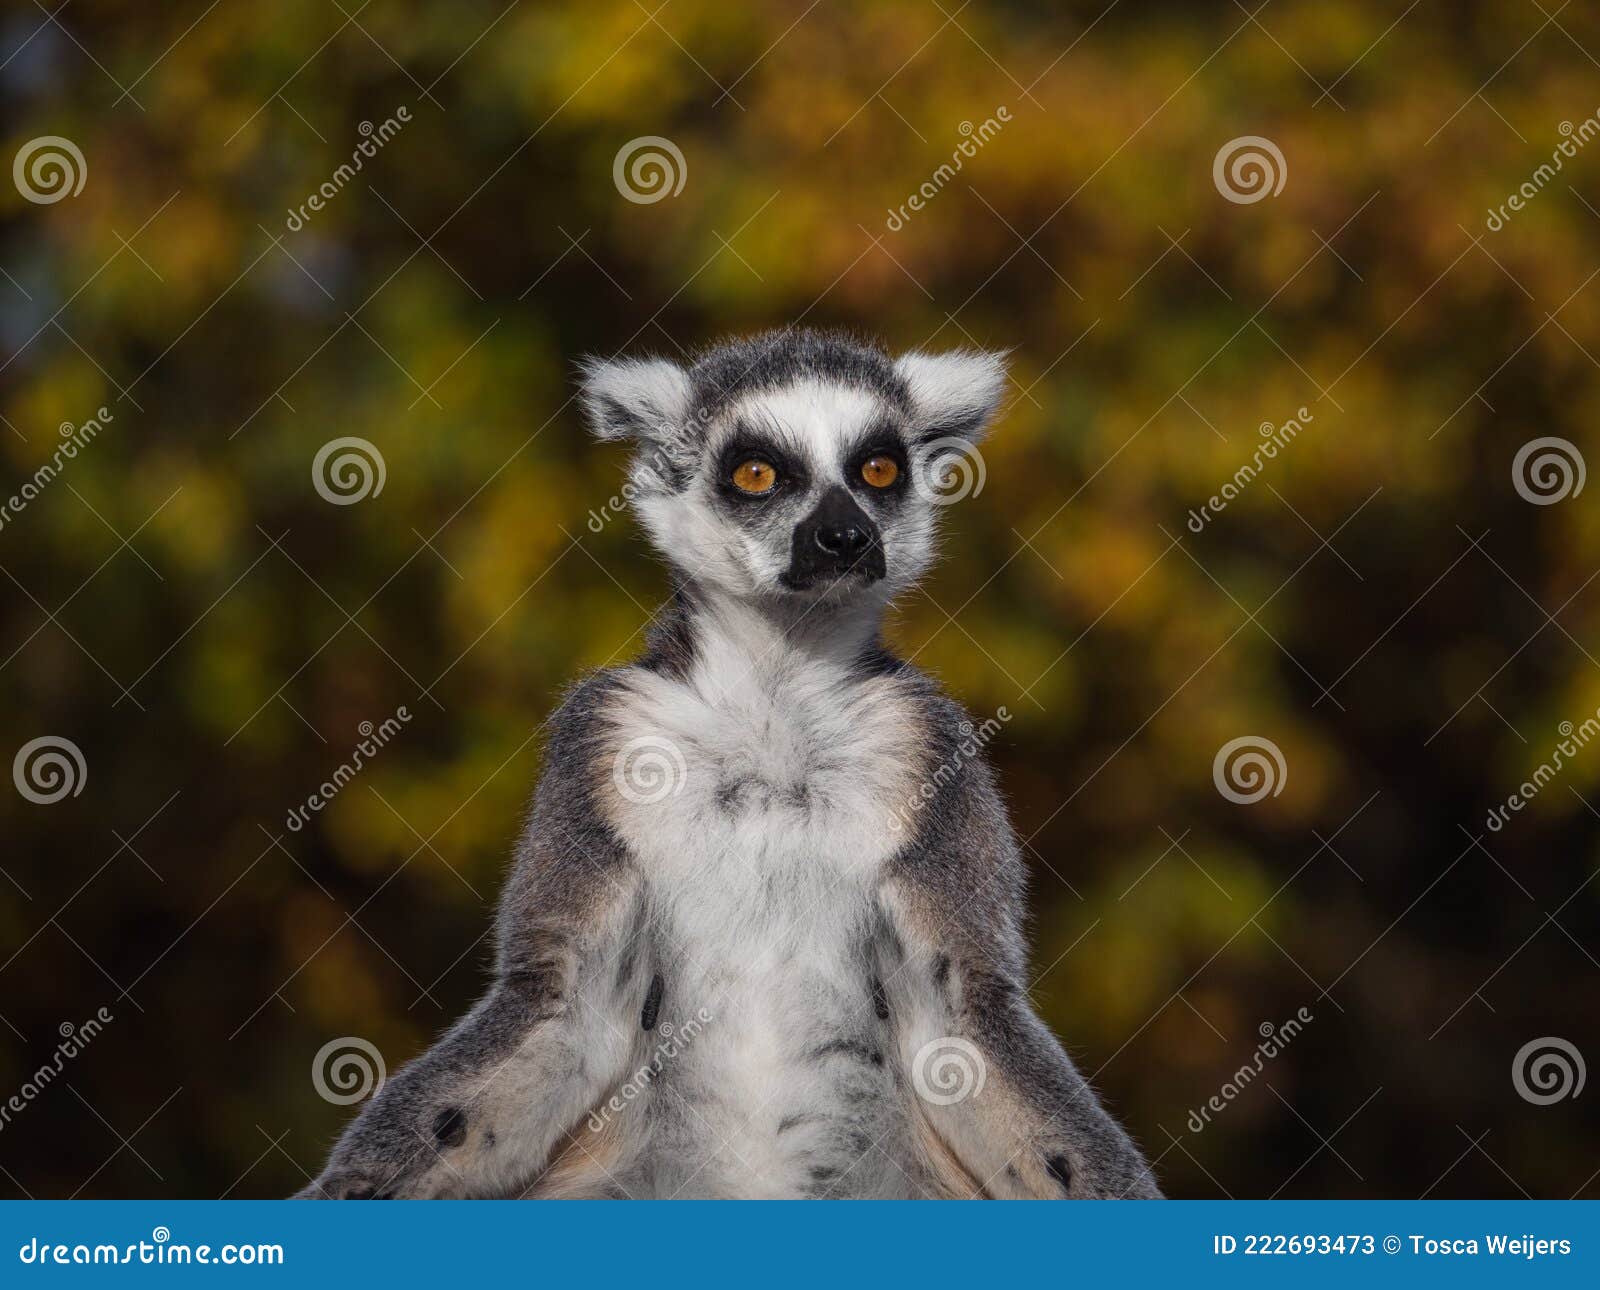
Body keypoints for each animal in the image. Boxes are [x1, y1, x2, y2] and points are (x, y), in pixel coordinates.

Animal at [298, 328, 1161, 1199]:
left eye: (878, 471)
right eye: (757, 474)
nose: (846, 538)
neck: (774, 703)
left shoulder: (928, 747)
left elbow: (961, 1019)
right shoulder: (603, 737)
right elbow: (566, 1005)